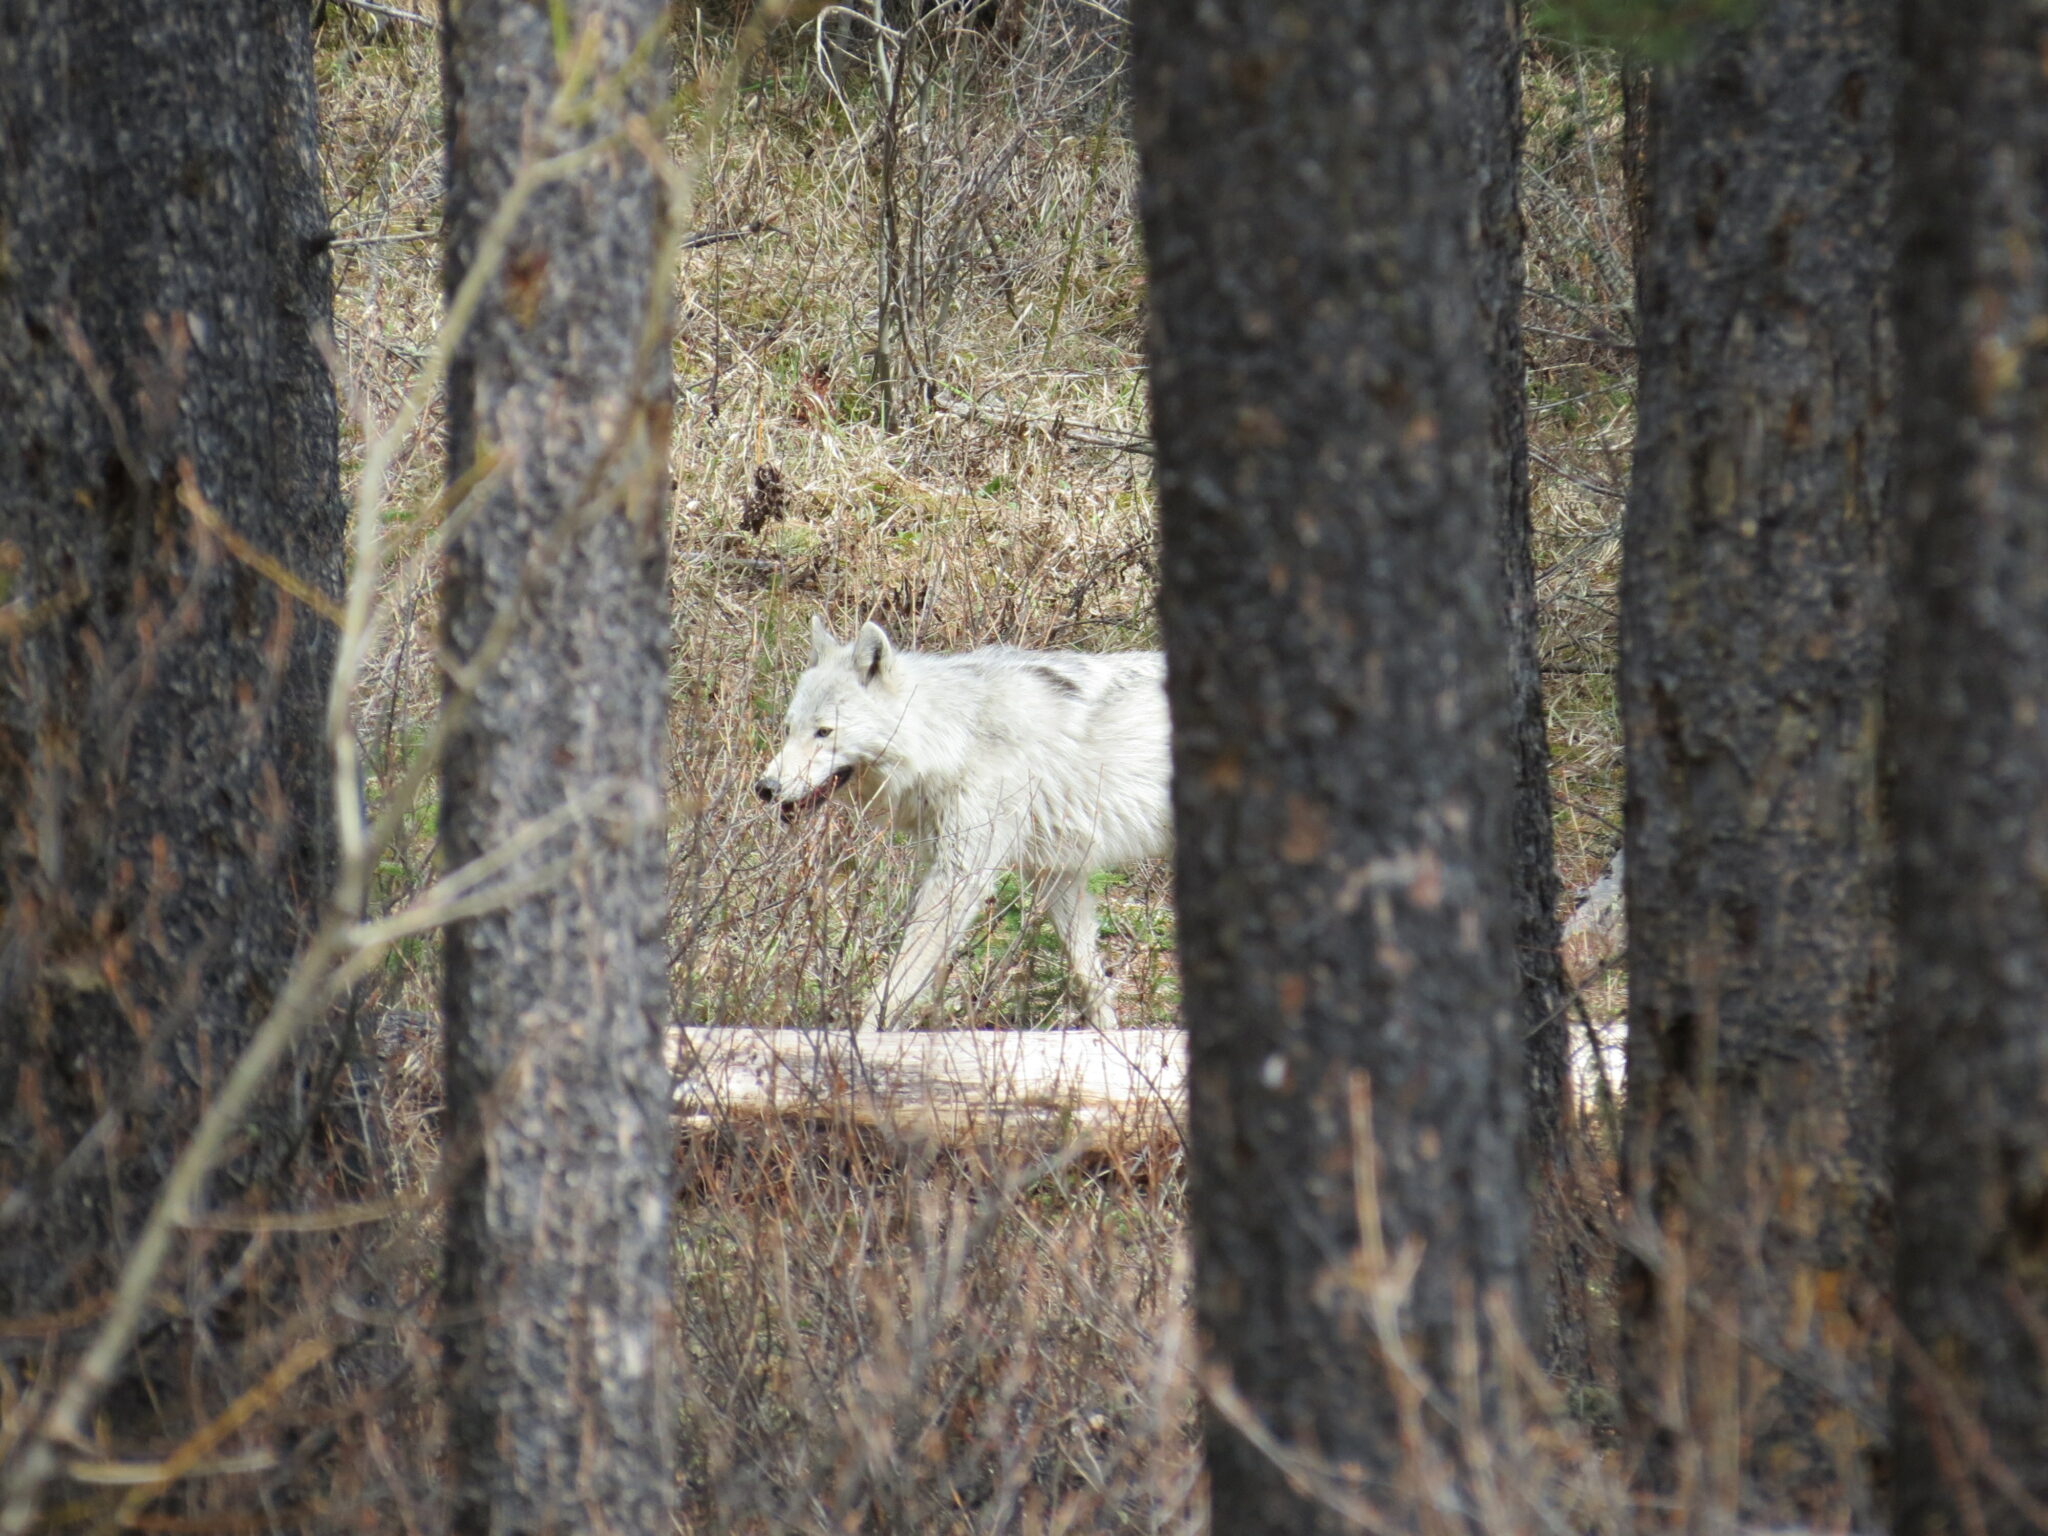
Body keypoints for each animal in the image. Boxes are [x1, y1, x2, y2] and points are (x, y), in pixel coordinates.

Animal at [756, 616, 1172, 1032]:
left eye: (824, 731)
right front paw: (1108, 1039)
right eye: (789, 729)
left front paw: (865, 1041)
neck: (954, 737)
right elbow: (1089, 976)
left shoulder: (962, 875)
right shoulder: (1057, 872)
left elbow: (897, 982)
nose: (765, 788)